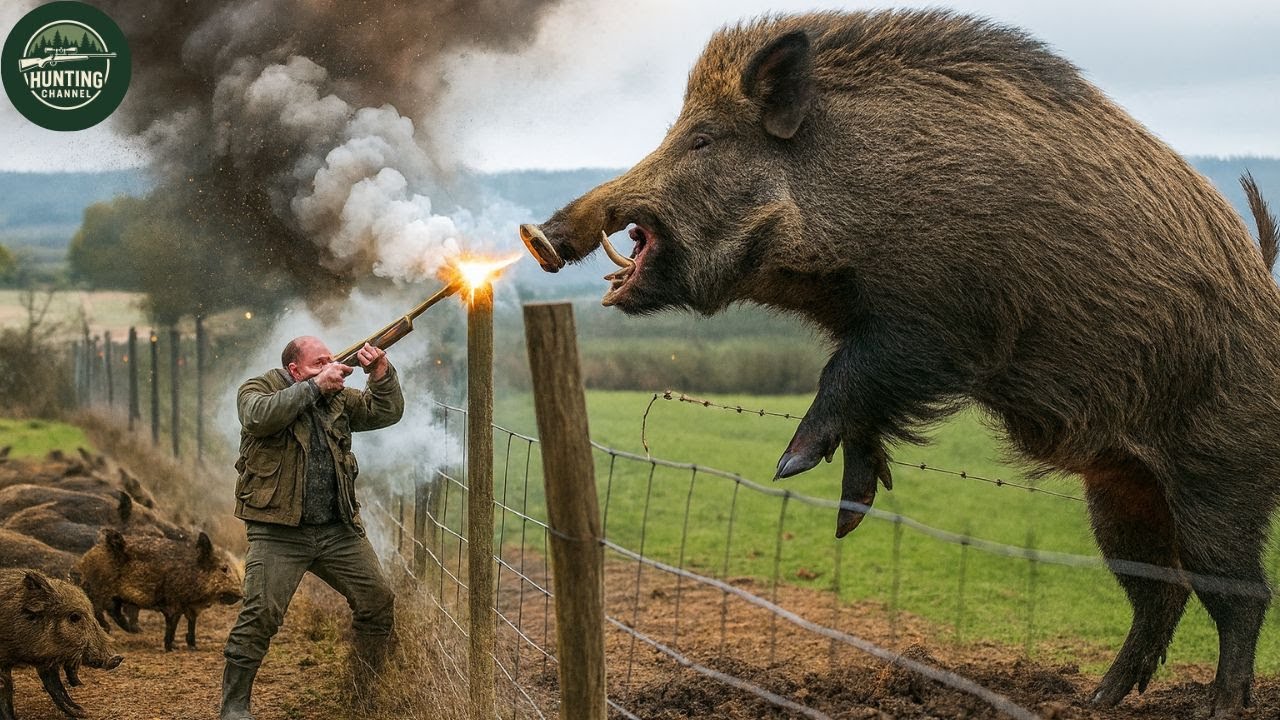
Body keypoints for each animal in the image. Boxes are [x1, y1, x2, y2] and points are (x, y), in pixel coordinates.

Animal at [0, 569, 123, 720]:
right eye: (74, 617)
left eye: (91, 613)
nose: (117, 658)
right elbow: (6, 689)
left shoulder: (47, 661)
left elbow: (56, 686)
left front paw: (82, 711)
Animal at [77, 529, 243, 651]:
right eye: (224, 568)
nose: (241, 594)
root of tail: (85, 557)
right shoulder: (173, 602)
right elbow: (172, 623)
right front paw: (171, 648)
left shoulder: (189, 608)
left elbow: (190, 623)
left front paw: (193, 647)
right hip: (98, 589)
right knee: (97, 607)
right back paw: (108, 629)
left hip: (116, 596)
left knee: (114, 610)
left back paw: (133, 630)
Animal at [520, 10, 1280, 715]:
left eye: (702, 139)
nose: (539, 234)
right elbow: (860, 402)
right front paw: (849, 515)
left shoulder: (940, 320)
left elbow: (847, 378)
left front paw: (790, 467)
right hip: (1118, 491)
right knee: (1159, 593)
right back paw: (1098, 699)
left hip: (1220, 477)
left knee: (1239, 591)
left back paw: (1221, 705)